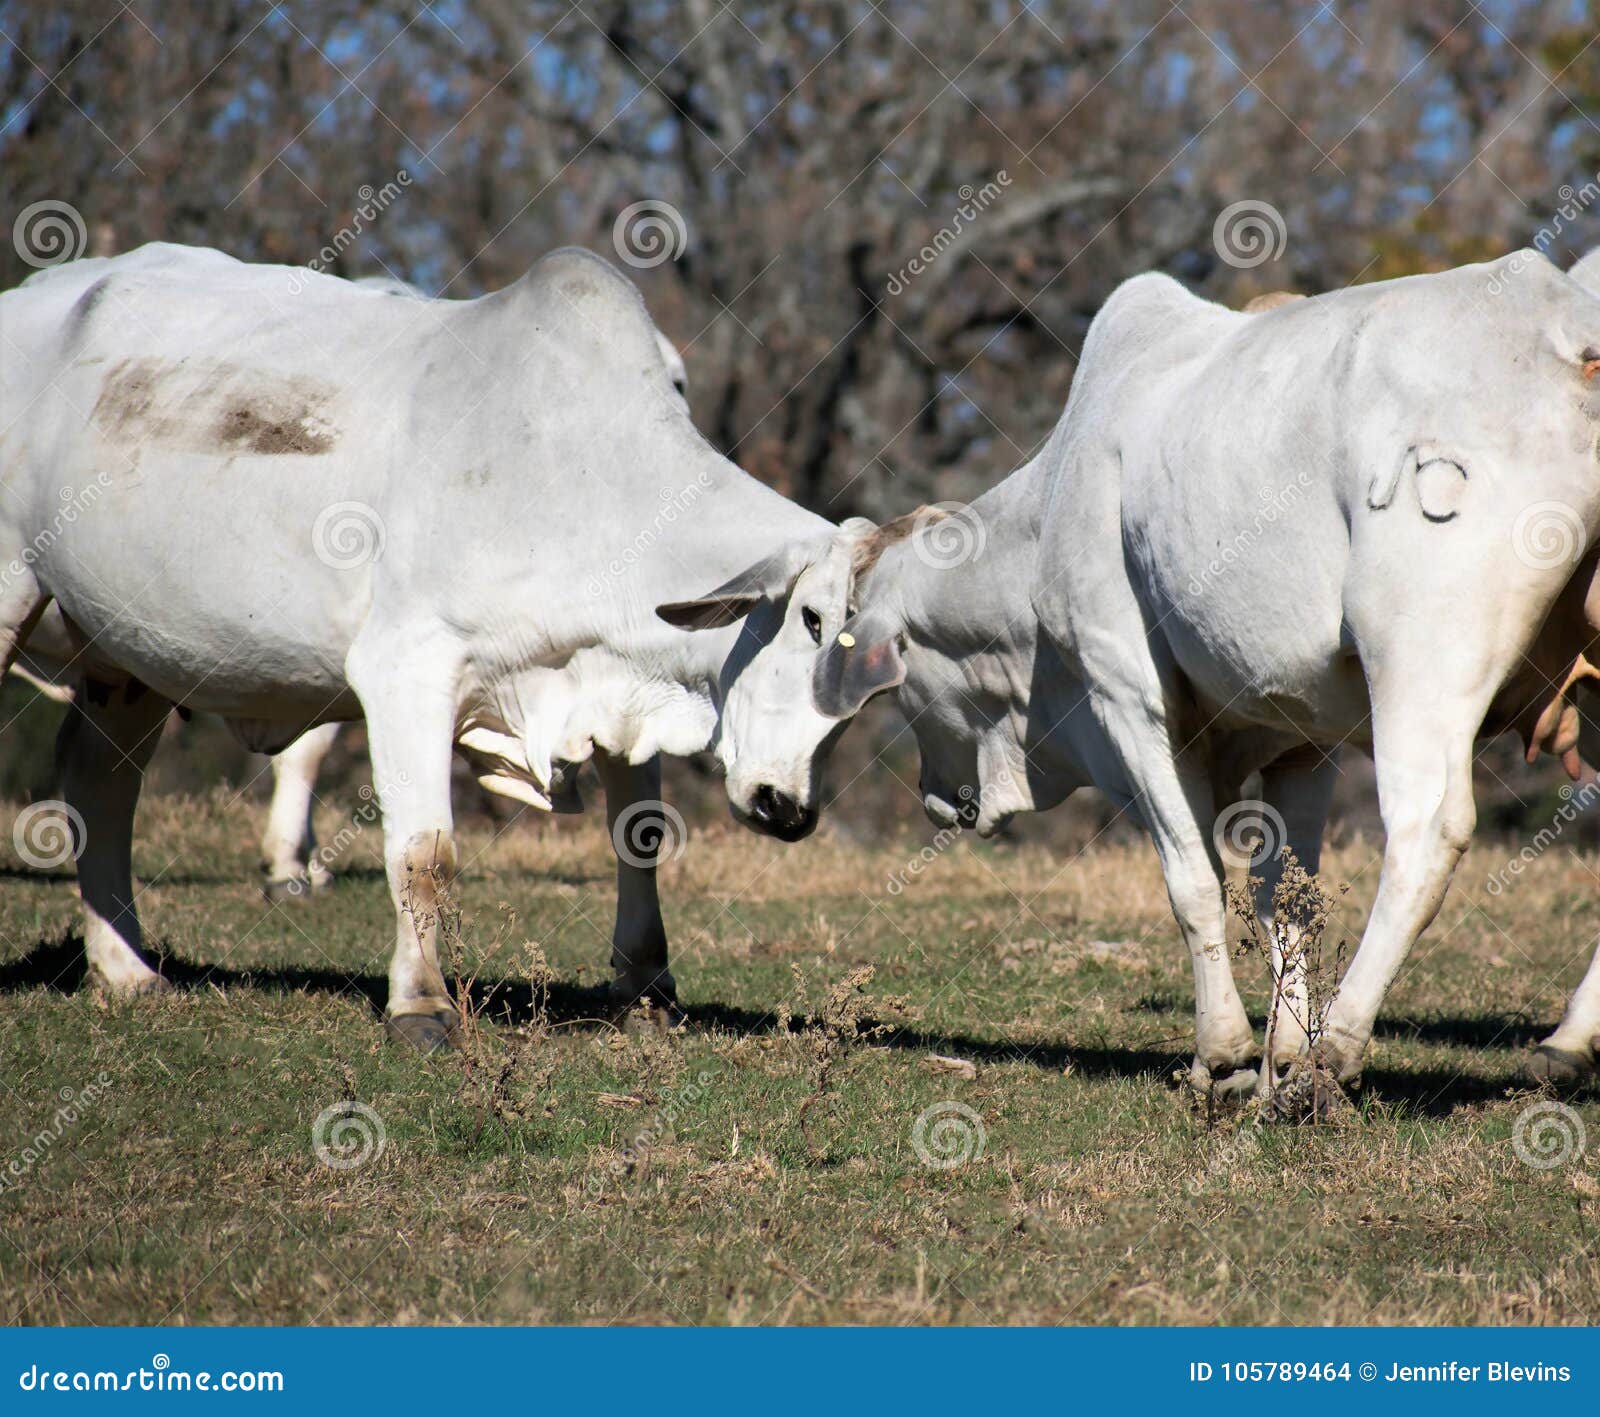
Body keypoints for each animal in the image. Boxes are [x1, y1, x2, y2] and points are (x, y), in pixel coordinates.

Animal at [0, 242, 874, 1049]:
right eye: (810, 619)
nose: (789, 807)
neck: (577, 474)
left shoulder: (616, 681)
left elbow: (642, 835)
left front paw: (647, 989)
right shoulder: (406, 670)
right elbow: (425, 852)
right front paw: (420, 1004)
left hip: (128, 653)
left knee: (99, 779)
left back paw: (127, 970)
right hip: (16, 586)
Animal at [673, 250, 1600, 1109]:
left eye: (813, 620)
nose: (768, 793)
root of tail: (1566, 324)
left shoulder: (1130, 697)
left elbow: (1194, 880)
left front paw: (1229, 1059)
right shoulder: (1302, 739)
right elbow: (1286, 897)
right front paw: (1277, 1053)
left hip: (1421, 652)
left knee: (1428, 829)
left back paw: (1334, 1058)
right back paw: (1561, 1046)